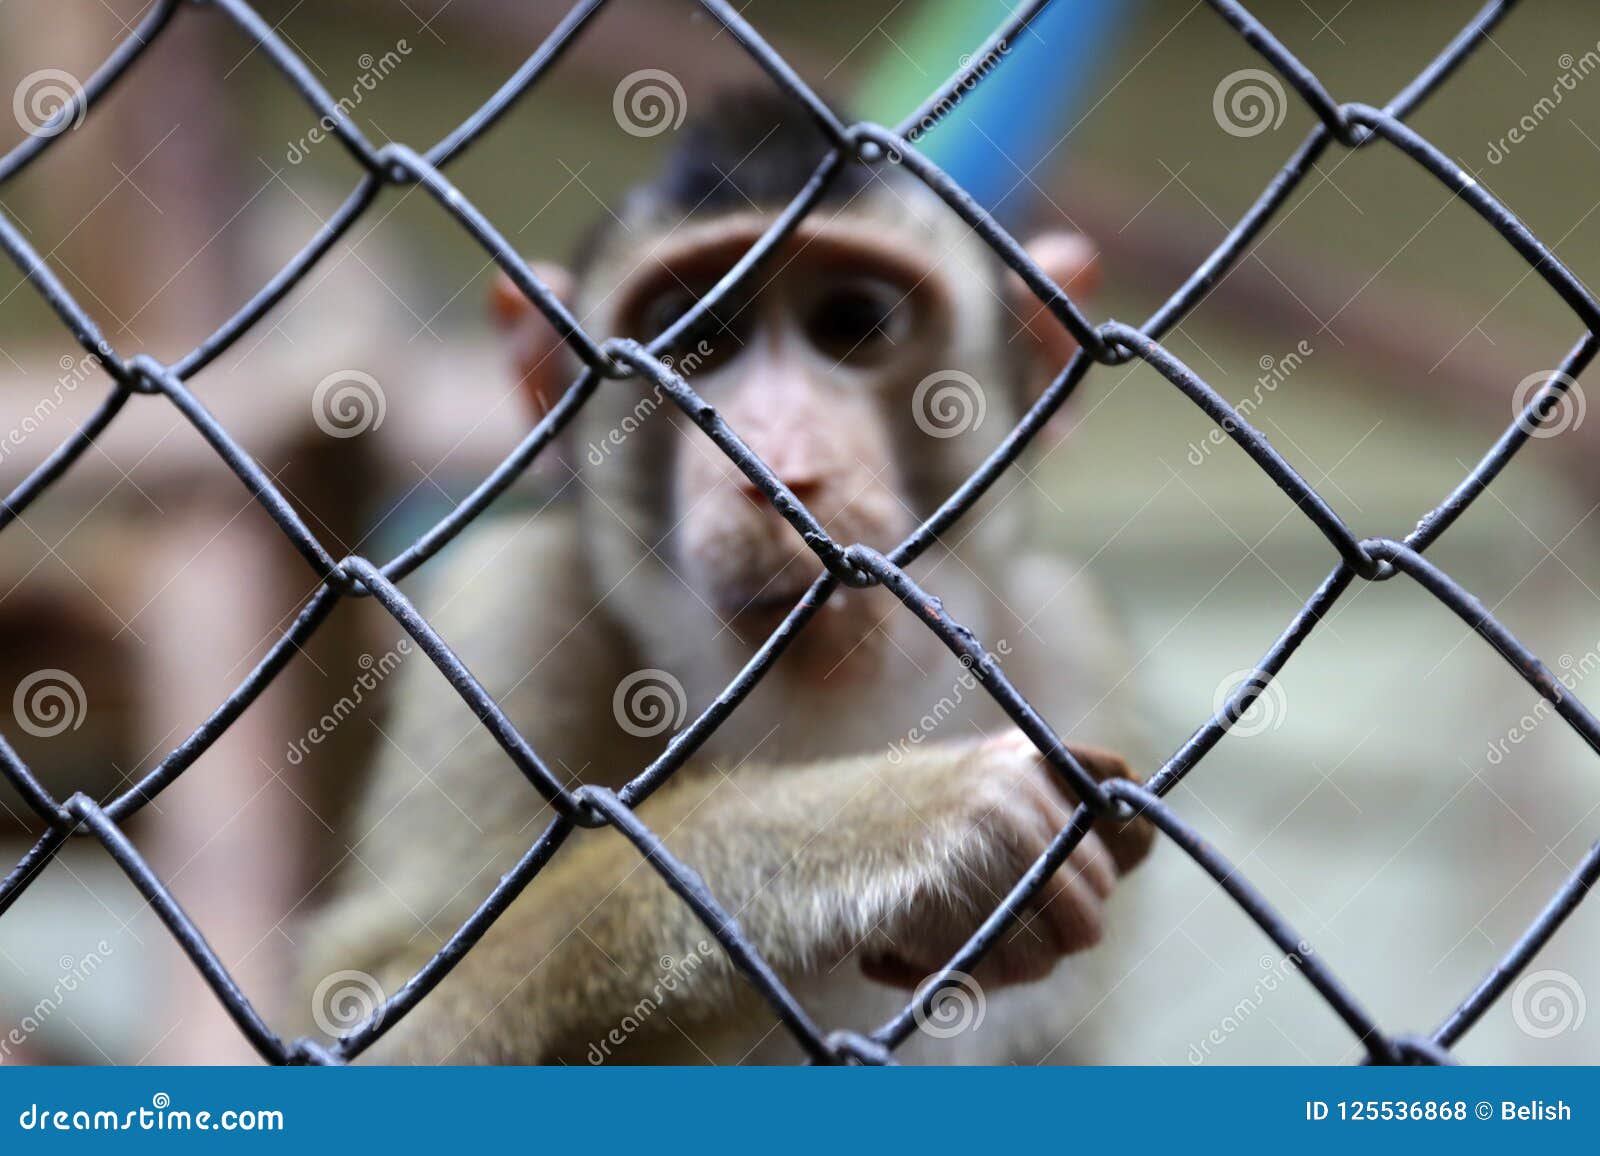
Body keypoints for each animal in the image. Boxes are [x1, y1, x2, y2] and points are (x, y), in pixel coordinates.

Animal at [298, 90, 1154, 1065]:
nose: (776, 463)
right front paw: (873, 826)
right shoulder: (511, 605)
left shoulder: (1076, 646)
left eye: (856, 324)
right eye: (700, 336)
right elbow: (371, 1005)